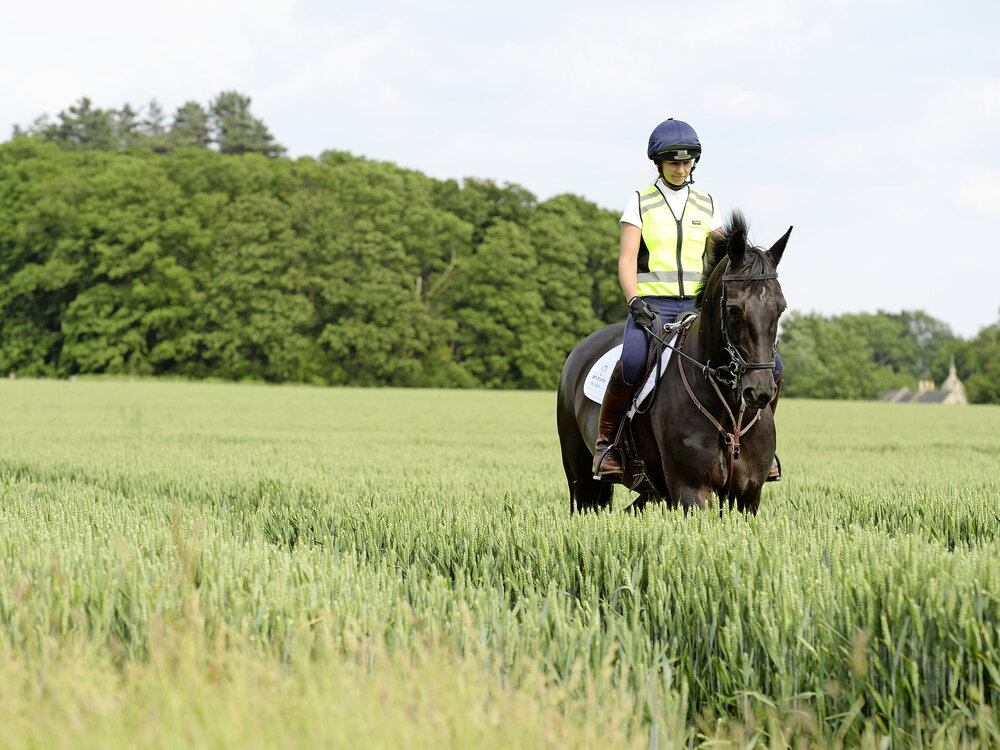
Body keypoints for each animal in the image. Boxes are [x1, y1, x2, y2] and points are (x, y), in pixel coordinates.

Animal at [556, 212, 790, 514]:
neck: (726, 409)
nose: (759, 391)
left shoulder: (749, 495)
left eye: (780, 308)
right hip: (580, 478)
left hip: (653, 492)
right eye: (734, 309)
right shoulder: (691, 491)